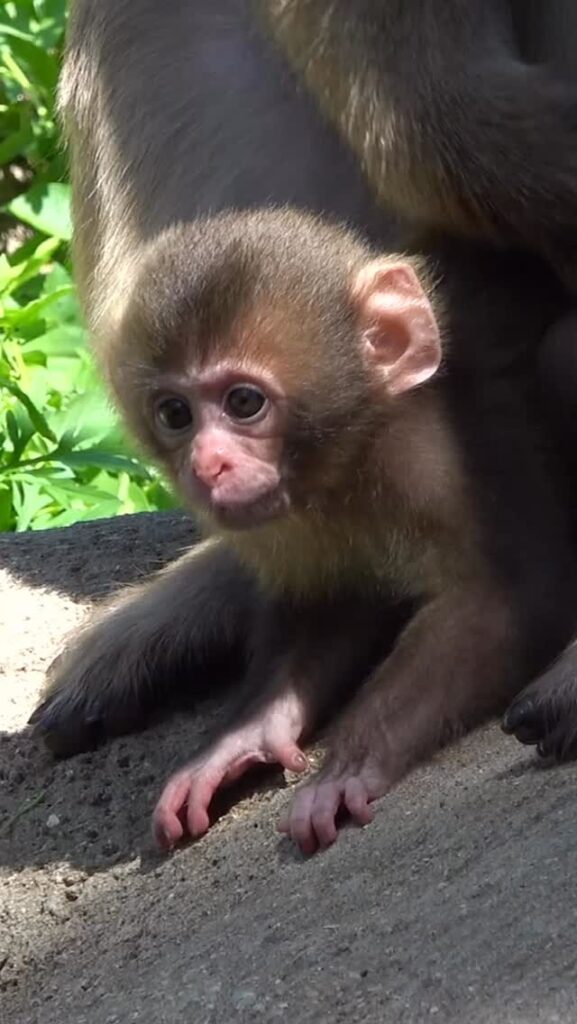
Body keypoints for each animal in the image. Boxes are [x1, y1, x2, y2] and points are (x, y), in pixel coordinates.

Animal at [32, 208, 577, 852]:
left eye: (244, 402)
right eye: (175, 414)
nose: (206, 466)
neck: (358, 456)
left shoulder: (450, 452)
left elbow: (507, 600)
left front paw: (346, 766)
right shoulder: (286, 526)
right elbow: (329, 605)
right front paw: (241, 739)